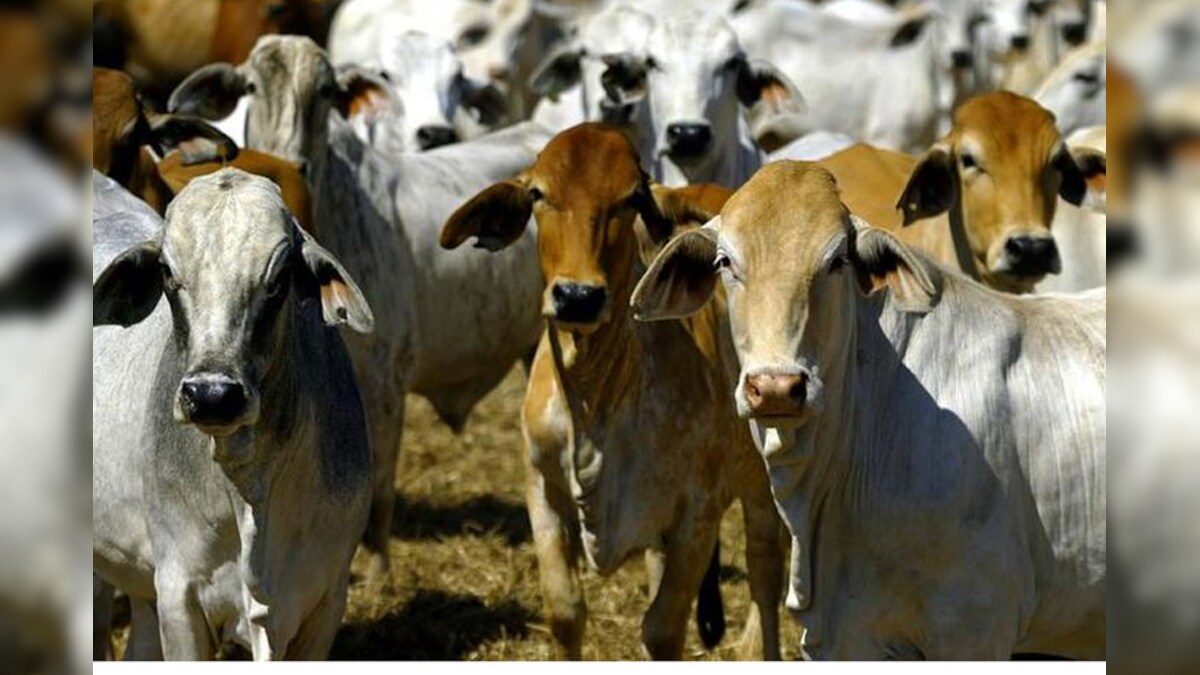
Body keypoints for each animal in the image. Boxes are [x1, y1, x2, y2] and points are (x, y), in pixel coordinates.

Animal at [168, 35, 550, 573]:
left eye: (327, 92)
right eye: (251, 87)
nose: (290, 163)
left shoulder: (385, 383)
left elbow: (380, 488)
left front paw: (377, 570)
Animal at [440, 124, 785, 660]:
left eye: (631, 199)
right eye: (538, 194)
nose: (578, 297)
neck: (593, 400)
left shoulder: (698, 514)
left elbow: (662, 630)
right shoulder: (542, 492)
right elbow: (565, 612)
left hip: (761, 484)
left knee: (766, 574)